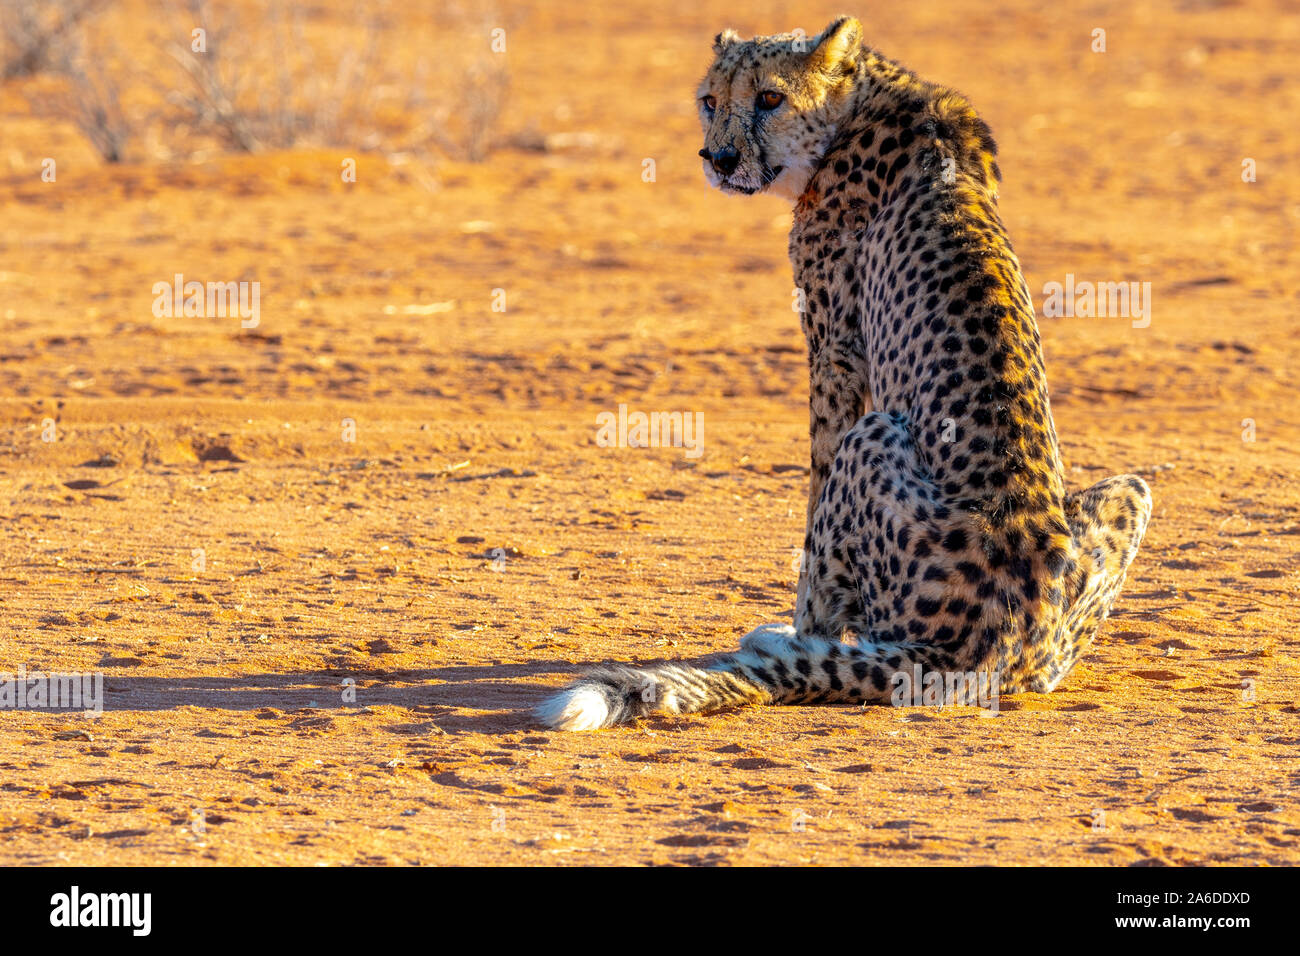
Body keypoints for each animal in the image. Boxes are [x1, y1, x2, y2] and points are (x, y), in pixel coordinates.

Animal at [537, 15, 1151, 730]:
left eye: (770, 98)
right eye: (710, 101)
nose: (719, 159)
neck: (863, 100)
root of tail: (996, 651)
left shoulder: (835, 350)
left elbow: (813, 497)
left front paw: (801, 630)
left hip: (877, 434)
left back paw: (786, 643)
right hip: (1130, 495)